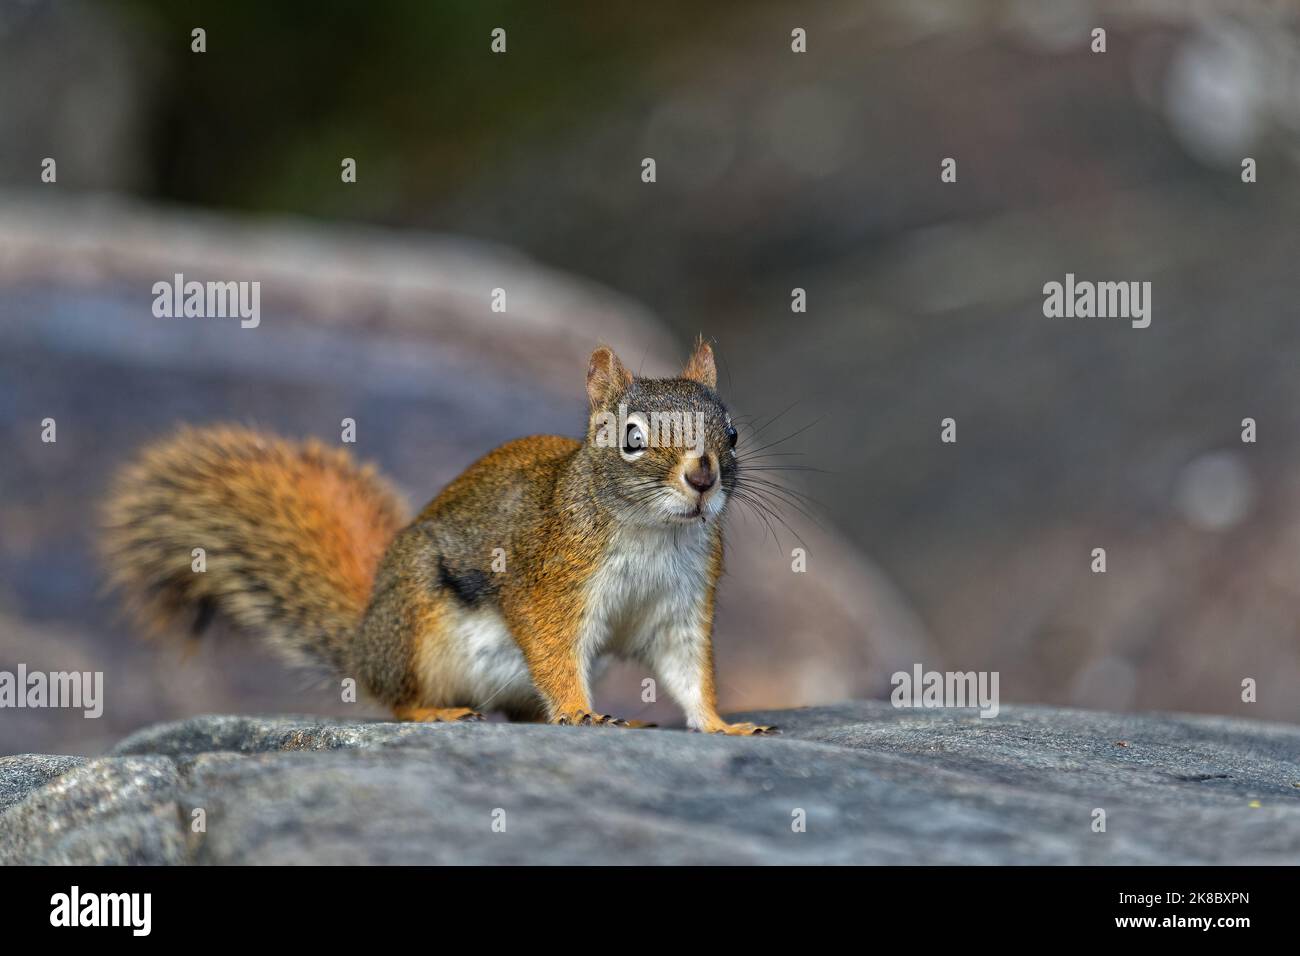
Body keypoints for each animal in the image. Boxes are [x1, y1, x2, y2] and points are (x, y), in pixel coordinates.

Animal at [101, 340, 777, 735]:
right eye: (631, 438)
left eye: (732, 433)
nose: (702, 477)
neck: (652, 533)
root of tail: (363, 645)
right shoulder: (547, 583)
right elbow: (553, 651)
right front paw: (581, 712)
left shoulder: (682, 605)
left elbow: (690, 671)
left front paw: (722, 725)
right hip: (415, 627)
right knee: (396, 699)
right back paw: (438, 709)